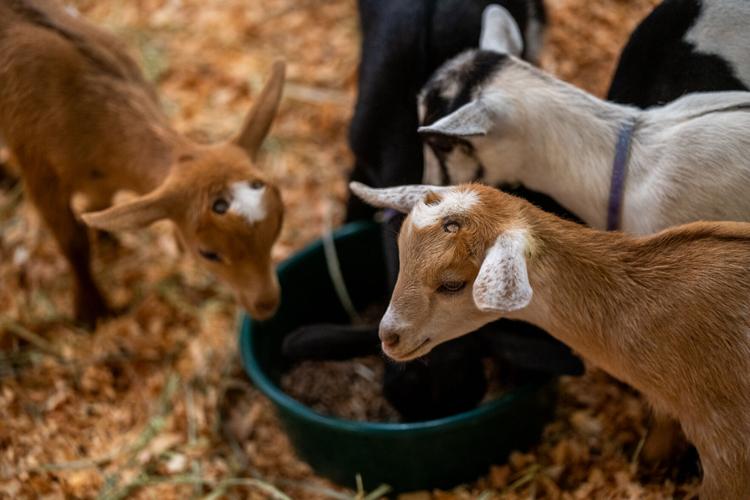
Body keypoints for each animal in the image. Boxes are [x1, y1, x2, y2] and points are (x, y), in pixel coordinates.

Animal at [0, 0, 286, 326]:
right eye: (208, 253)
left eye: (279, 225)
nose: (266, 304)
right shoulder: (39, 168)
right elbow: (73, 242)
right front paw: (90, 311)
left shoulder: (104, 177)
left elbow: (99, 206)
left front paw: (105, 236)